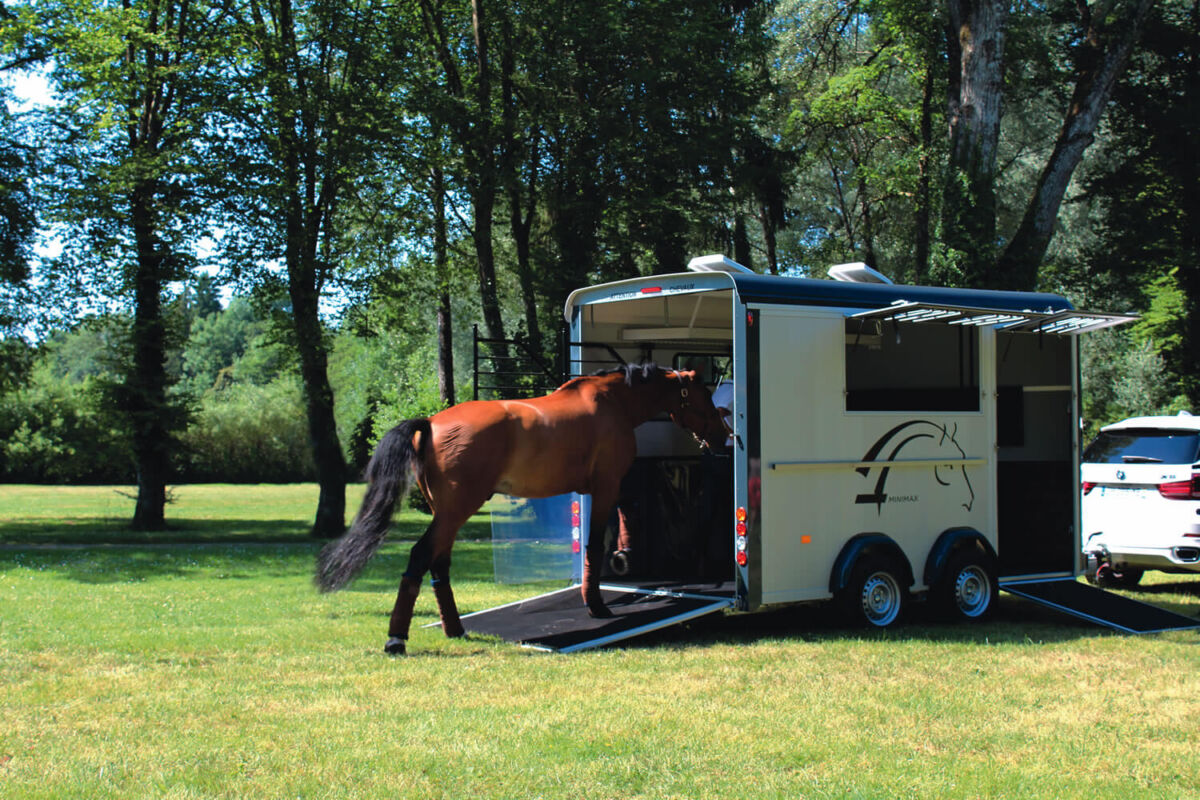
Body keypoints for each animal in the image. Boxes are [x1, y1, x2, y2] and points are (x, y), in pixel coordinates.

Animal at [314, 363, 729, 655]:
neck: (614, 403)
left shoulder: (602, 488)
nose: (722, 437)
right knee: (420, 558)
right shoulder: (605, 485)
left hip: (446, 515)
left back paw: (455, 629)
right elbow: (595, 544)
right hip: (454, 512)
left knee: (439, 564)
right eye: (705, 398)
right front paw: (596, 605)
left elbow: (626, 510)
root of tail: (430, 423)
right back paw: (396, 639)